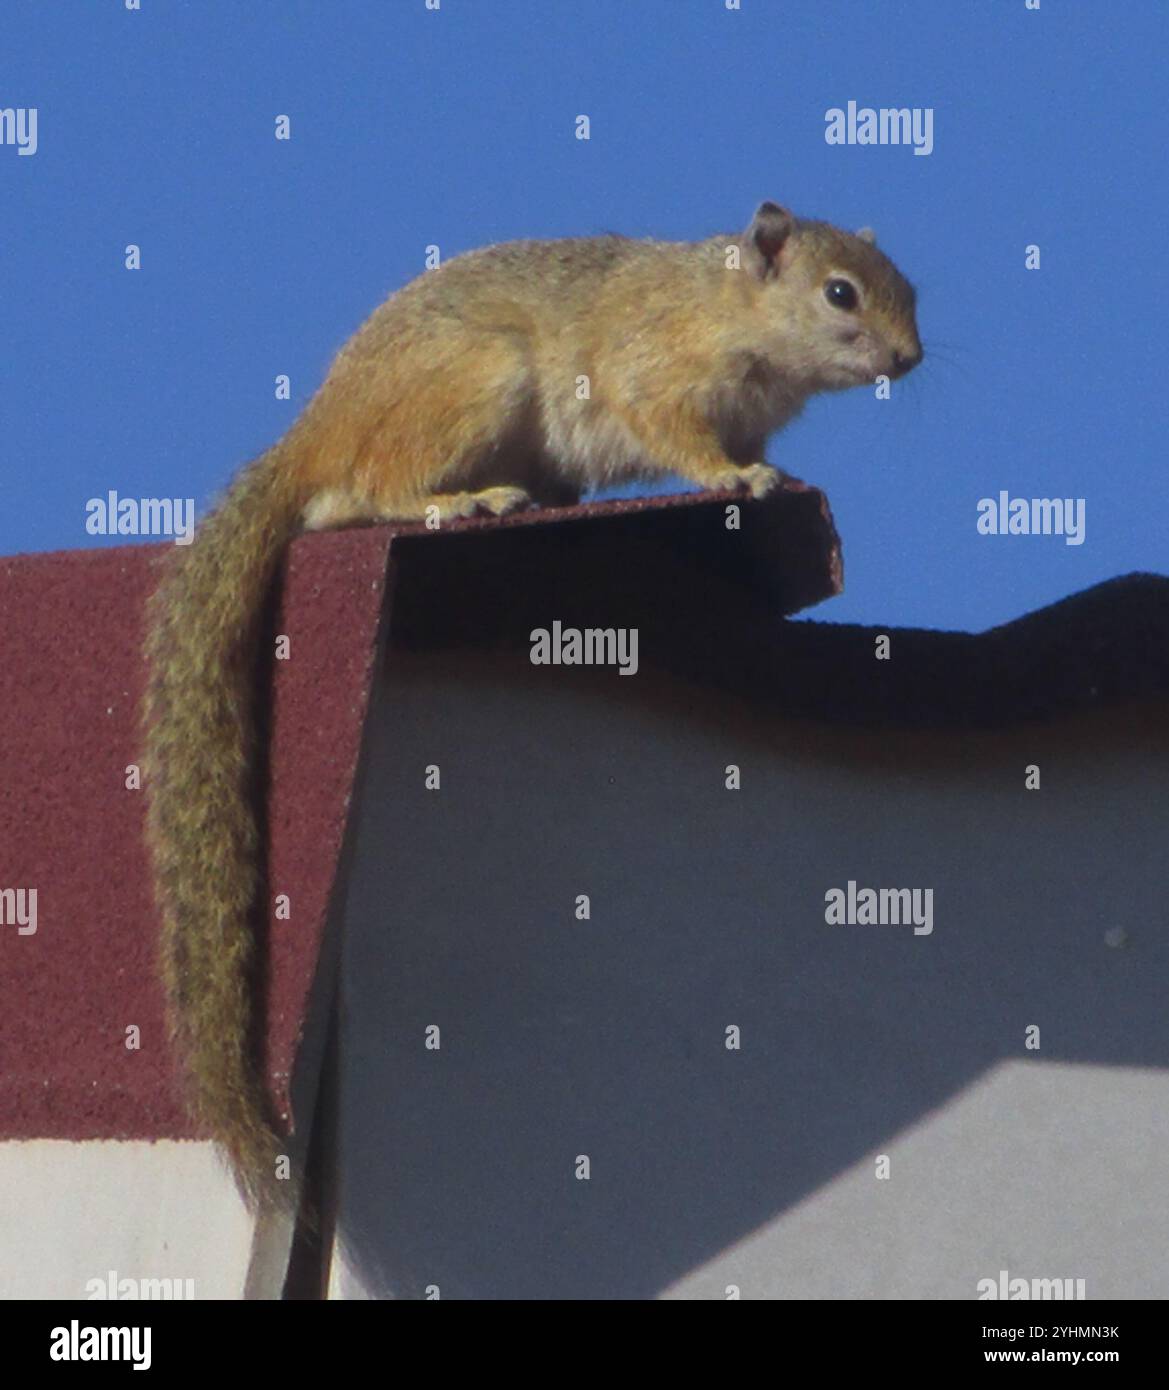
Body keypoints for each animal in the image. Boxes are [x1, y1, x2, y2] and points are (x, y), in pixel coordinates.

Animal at [142, 200, 922, 1210]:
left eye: (908, 287)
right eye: (839, 293)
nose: (909, 357)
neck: (727, 305)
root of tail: (318, 424)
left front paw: (763, 475)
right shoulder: (653, 371)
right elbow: (676, 432)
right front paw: (736, 480)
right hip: (473, 383)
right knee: (362, 492)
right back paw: (463, 500)